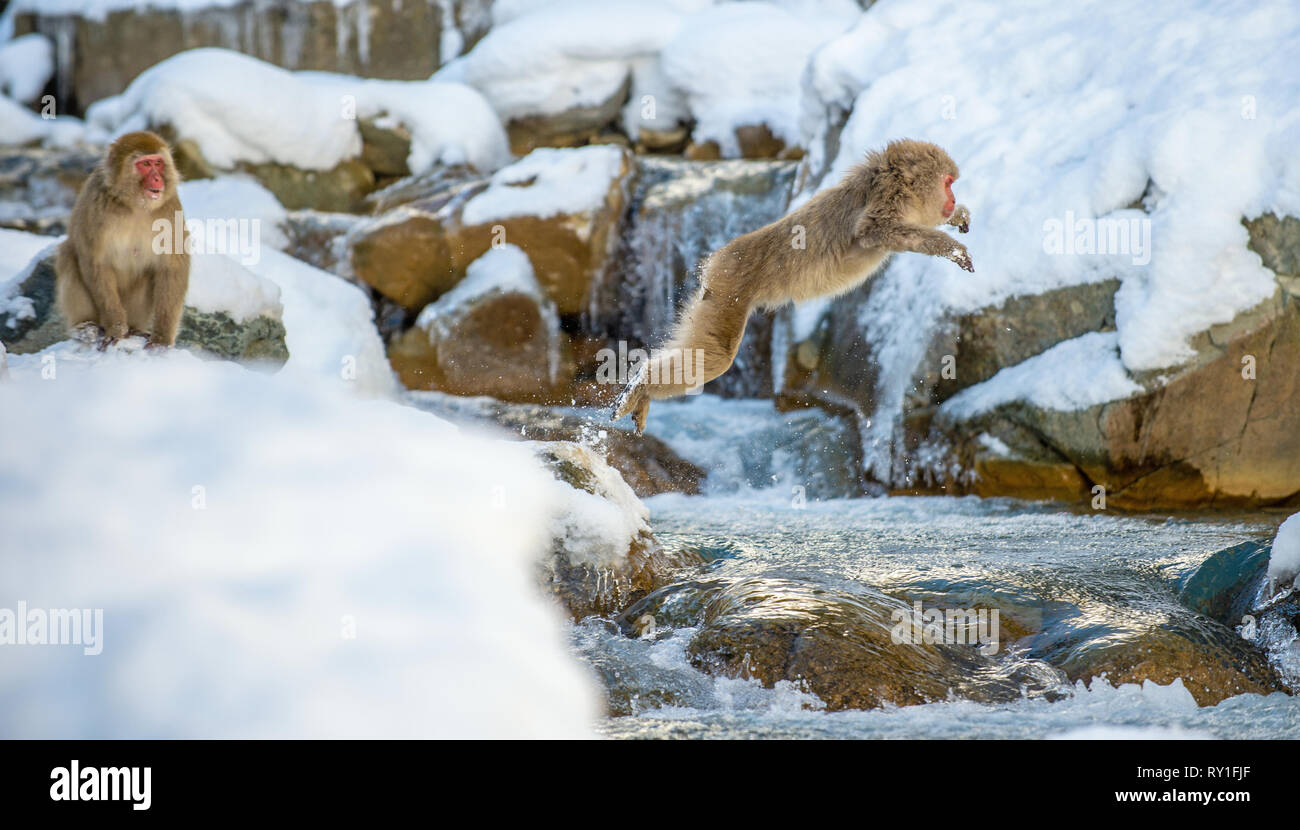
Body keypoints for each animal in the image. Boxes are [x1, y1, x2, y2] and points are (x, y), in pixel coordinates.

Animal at [56, 131, 189, 350]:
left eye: (158, 163)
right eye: (145, 164)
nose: (157, 178)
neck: (134, 204)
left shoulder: (169, 209)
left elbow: (171, 266)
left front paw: (161, 339)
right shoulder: (95, 204)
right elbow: (95, 262)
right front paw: (116, 328)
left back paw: (134, 329)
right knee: (69, 253)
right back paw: (85, 327)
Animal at [612, 139, 973, 433]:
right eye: (948, 182)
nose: (953, 197)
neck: (895, 182)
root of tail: (722, 256)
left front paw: (960, 216)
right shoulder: (888, 200)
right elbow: (874, 232)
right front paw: (951, 247)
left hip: (715, 293)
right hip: (731, 288)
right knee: (717, 356)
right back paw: (643, 385)